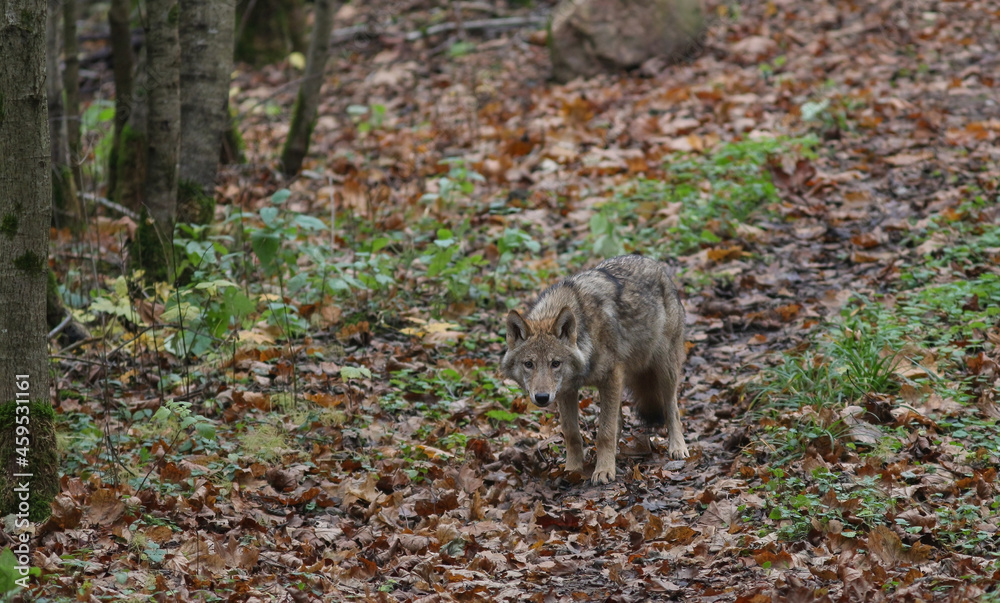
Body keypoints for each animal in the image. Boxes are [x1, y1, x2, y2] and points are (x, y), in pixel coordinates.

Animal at [500, 254, 688, 484]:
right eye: (529, 364)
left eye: (555, 363)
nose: (542, 397)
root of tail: (650, 261)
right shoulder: (567, 390)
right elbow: (572, 433)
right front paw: (572, 469)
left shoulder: (610, 377)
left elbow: (604, 433)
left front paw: (604, 470)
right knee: (619, 420)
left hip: (664, 368)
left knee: (672, 408)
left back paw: (677, 447)